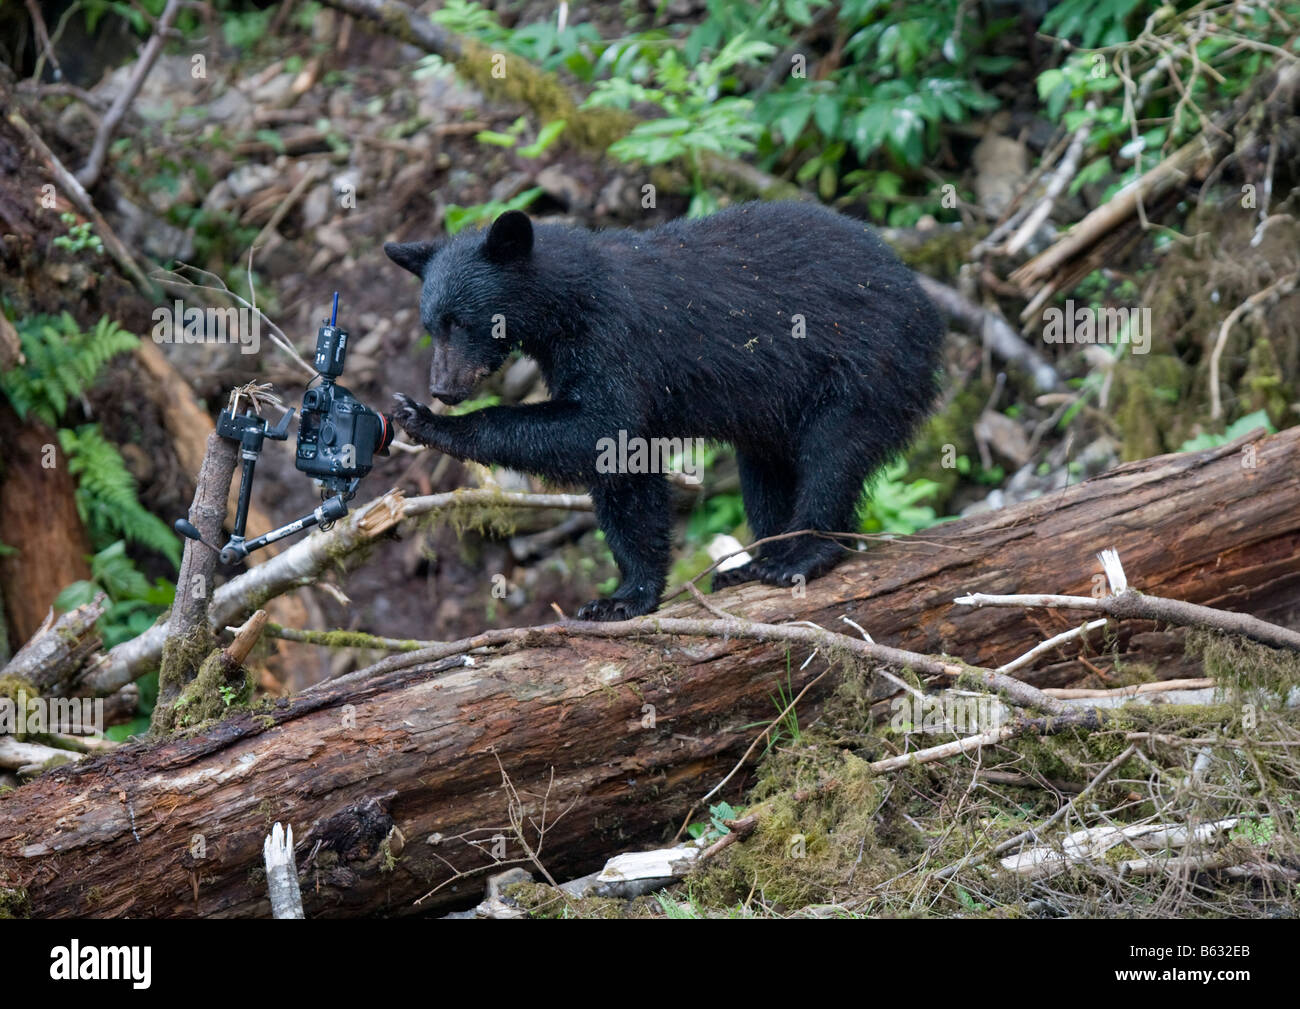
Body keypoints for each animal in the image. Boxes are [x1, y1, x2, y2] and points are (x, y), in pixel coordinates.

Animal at [386, 201, 944, 621]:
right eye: (432, 325)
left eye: (464, 322)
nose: (443, 388)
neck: (566, 308)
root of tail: (923, 299)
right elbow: (624, 474)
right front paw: (624, 596)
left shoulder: (616, 341)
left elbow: (597, 428)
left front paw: (427, 422)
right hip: (778, 408)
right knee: (767, 472)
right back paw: (754, 560)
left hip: (865, 365)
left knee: (833, 455)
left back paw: (799, 556)